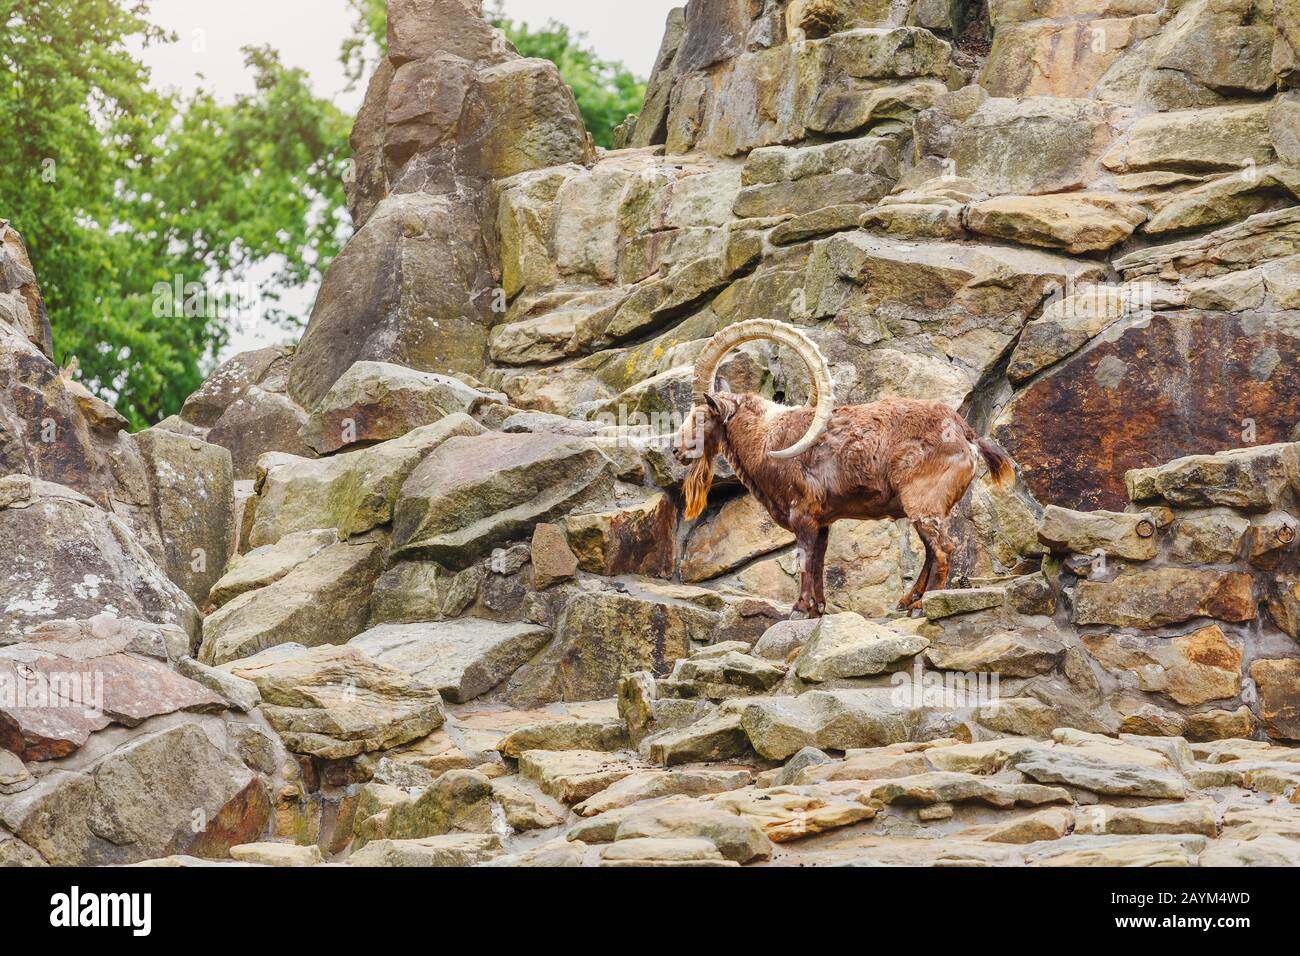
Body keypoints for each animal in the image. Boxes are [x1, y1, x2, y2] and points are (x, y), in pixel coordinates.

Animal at [671, 319, 1016, 618]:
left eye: (701, 416)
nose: (676, 450)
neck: (766, 438)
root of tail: (965, 433)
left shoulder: (803, 516)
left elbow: (804, 560)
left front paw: (798, 610)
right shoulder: (822, 521)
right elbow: (818, 561)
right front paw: (817, 609)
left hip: (923, 500)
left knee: (943, 548)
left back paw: (922, 604)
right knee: (933, 551)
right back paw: (908, 600)